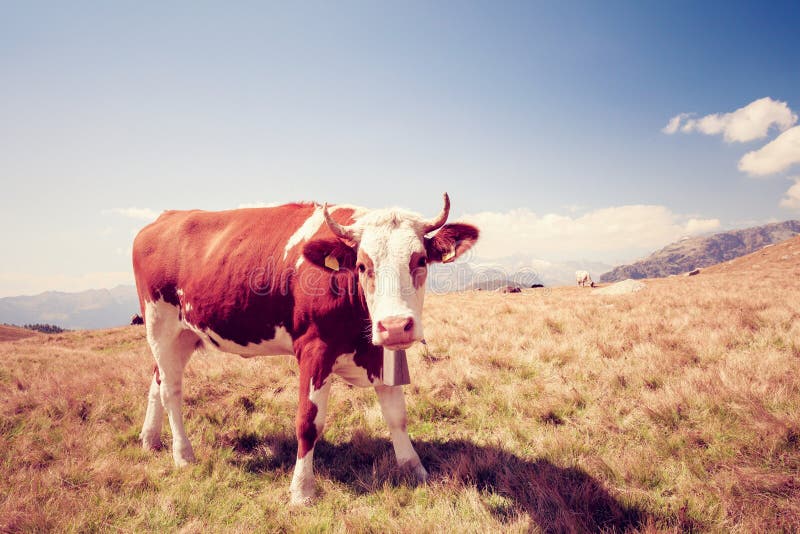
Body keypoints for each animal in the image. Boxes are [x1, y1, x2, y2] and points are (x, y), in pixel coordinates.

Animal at [132, 194, 478, 504]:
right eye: (362, 266)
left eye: (420, 260)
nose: (394, 325)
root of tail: (165, 217)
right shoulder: (314, 350)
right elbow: (308, 422)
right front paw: (301, 491)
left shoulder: (382, 352)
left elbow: (397, 416)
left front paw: (414, 468)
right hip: (159, 324)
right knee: (171, 391)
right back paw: (183, 454)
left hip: (183, 335)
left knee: (157, 380)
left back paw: (150, 440)